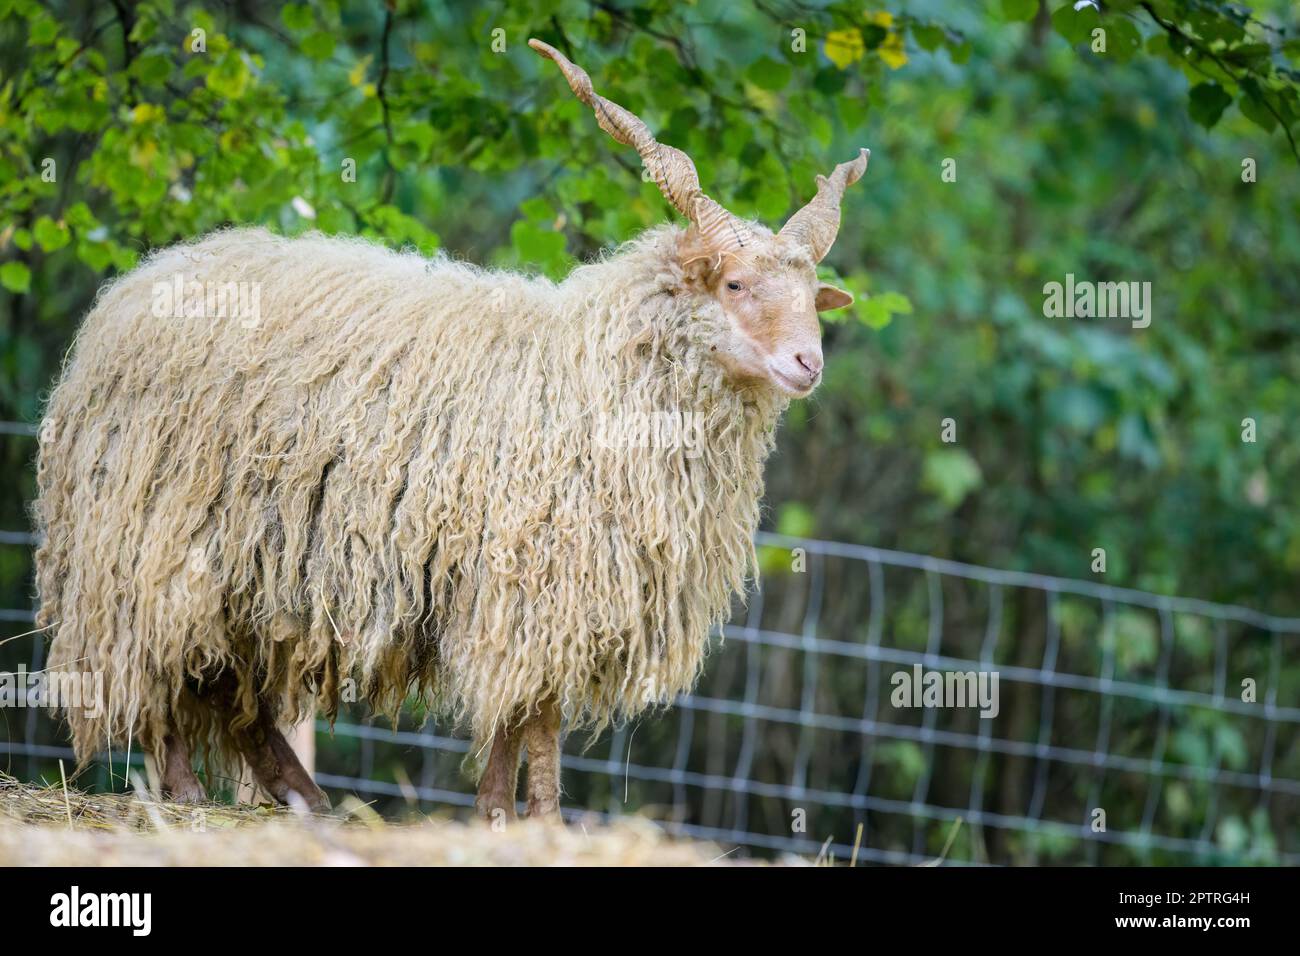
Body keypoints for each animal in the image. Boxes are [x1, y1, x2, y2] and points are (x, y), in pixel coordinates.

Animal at [33, 38, 869, 820]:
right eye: (735, 283)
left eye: (809, 297)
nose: (809, 363)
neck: (593, 367)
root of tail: (126, 294)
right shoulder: (536, 575)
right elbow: (537, 713)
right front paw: (538, 816)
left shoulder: (529, 582)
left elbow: (520, 713)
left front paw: (500, 810)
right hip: (150, 536)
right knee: (157, 659)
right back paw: (184, 791)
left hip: (245, 564)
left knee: (227, 684)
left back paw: (303, 797)